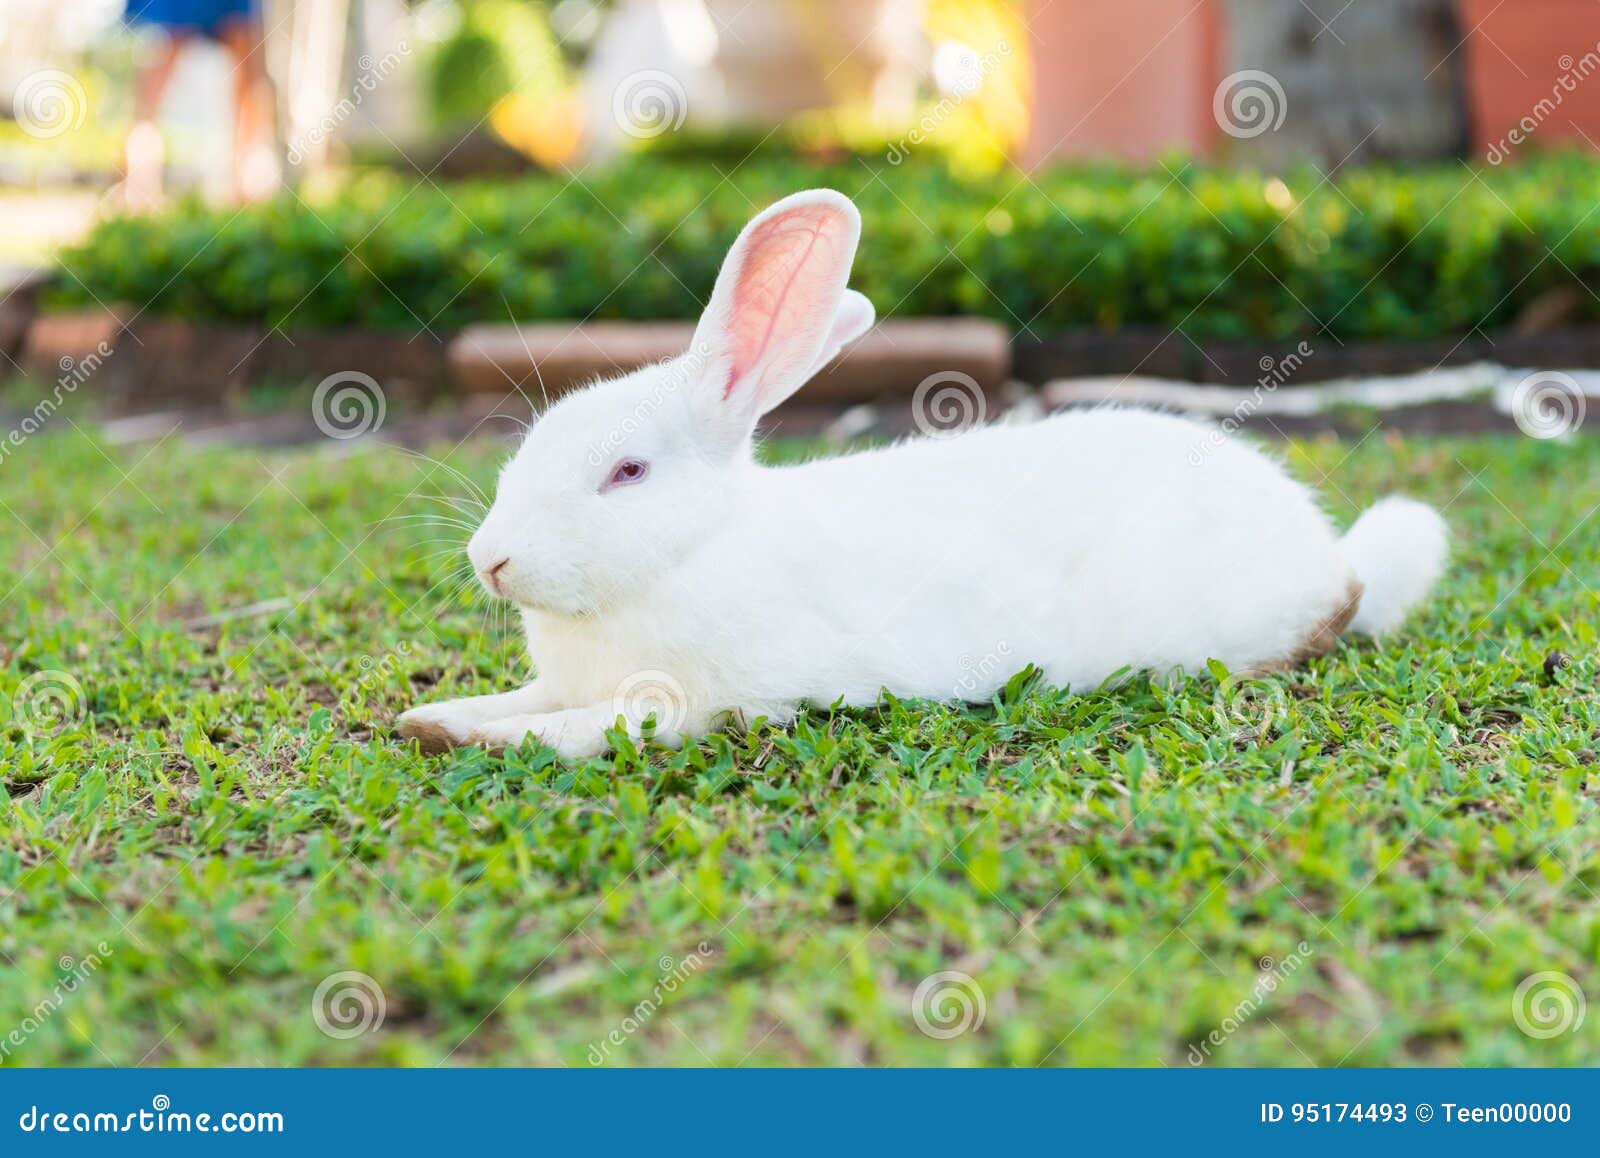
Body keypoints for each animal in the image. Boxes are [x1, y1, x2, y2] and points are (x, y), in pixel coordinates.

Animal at [397, 188, 1449, 759]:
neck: (694, 551)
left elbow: (581, 729)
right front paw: (430, 715)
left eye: (626, 472)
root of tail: (1335, 556)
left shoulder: (694, 701)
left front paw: (453, 734)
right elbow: (522, 703)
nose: (490, 561)